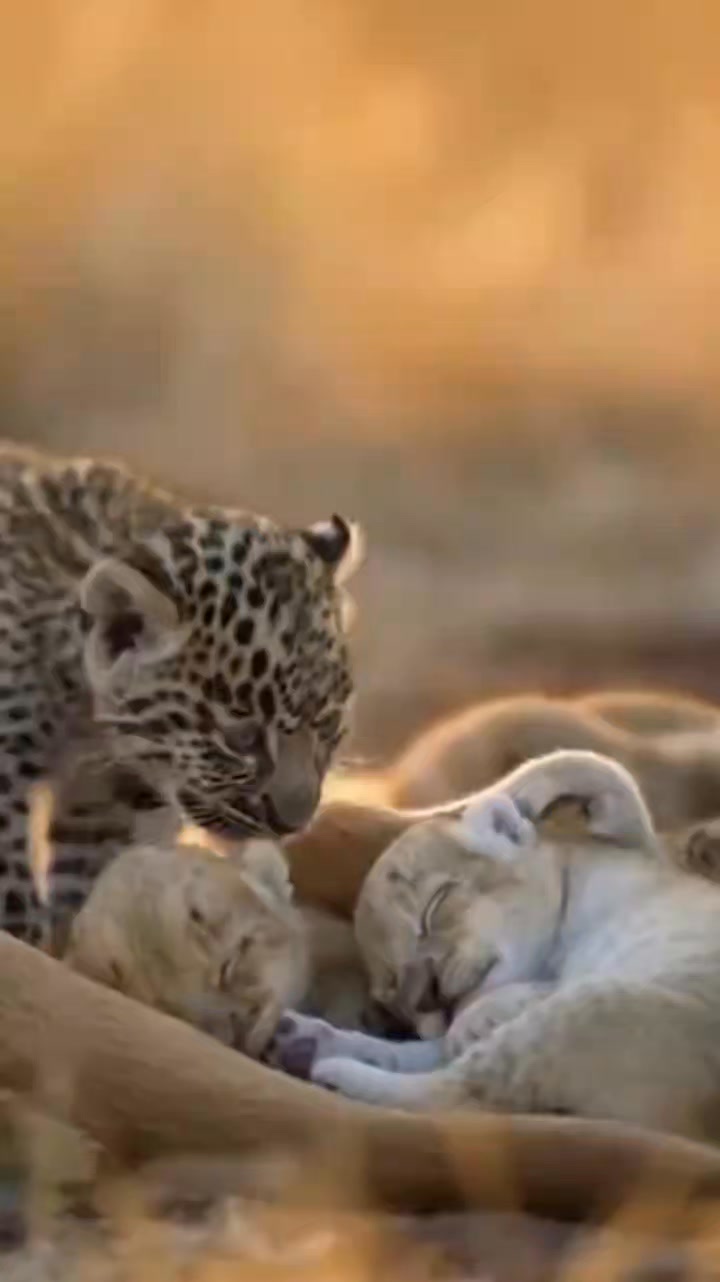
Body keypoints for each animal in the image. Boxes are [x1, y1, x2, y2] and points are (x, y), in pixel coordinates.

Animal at [0, 443, 362, 946]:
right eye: (241, 736)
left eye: (327, 723)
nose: (291, 824)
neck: (87, 723)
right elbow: (8, 879)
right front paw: (23, 936)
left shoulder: (111, 802)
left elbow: (92, 874)